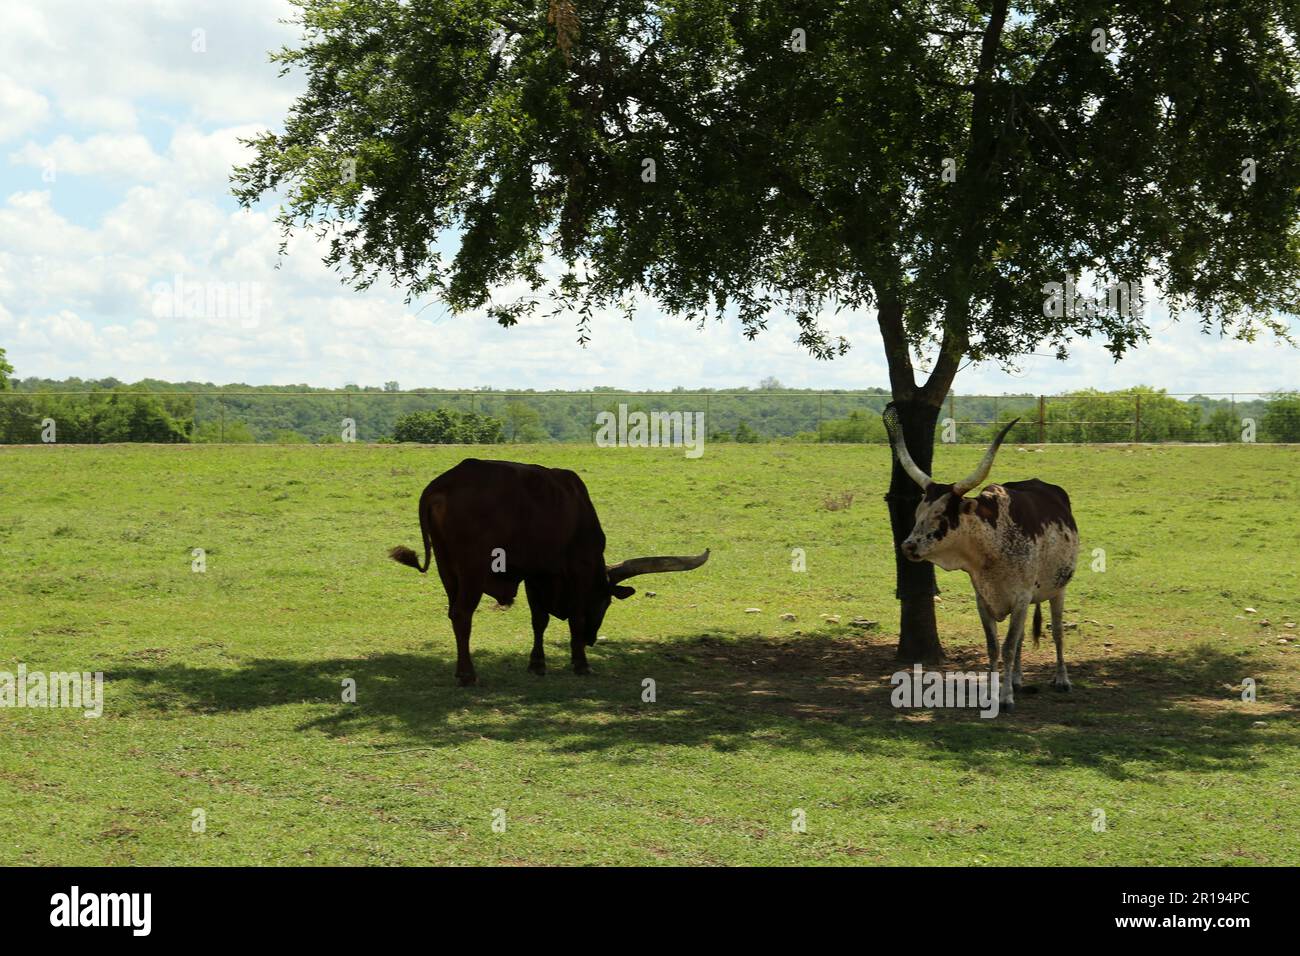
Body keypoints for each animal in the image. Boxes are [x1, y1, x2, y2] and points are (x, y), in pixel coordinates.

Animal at [389, 458, 709, 685]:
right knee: (462, 614)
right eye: (605, 602)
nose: (592, 641)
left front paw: (537, 664)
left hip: (447, 569)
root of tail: (442, 486)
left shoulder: (536, 575)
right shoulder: (578, 572)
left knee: (454, 613)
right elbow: (576, 619)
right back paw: (469, 675)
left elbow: (538, 620)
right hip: (472, 570)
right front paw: (580, 663)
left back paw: (460, 671)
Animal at [885, 414, 1079, 711]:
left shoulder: (1021, 598)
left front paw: (1006, 697)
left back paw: (1061, 679)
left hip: (1058, 589)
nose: (908, 545)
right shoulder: (983, 599)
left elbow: (1008, 646)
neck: (991, 546)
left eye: (941, 515)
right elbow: (995, 646)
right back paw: (1018, 679)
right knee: (1022, 639)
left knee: (1057, 632)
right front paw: (995, 692)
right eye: (918, 512)